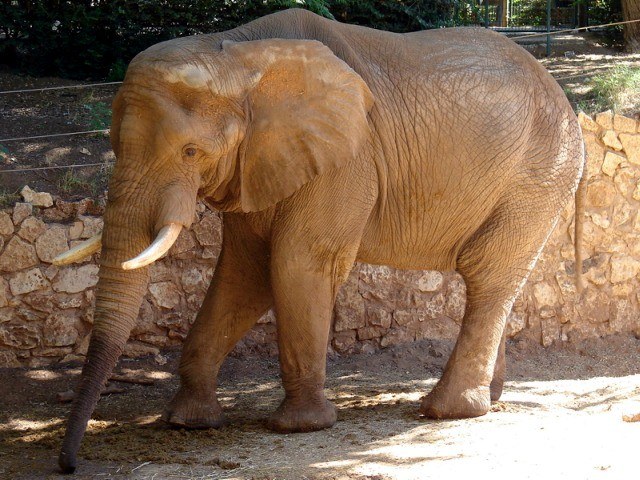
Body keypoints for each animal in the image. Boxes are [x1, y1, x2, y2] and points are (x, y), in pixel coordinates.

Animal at [54, 8, 585, 473]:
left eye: (190, 151)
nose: (69, 465)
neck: (236, 54)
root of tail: (566, 98)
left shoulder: (347, 159)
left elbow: (296, 261)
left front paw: (299, 427)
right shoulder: (261, 161)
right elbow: (246, 271)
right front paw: (190, 423)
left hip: (538, 173)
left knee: (487, 272)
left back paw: (447, 411)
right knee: (496, 279)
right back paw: (490, 398)